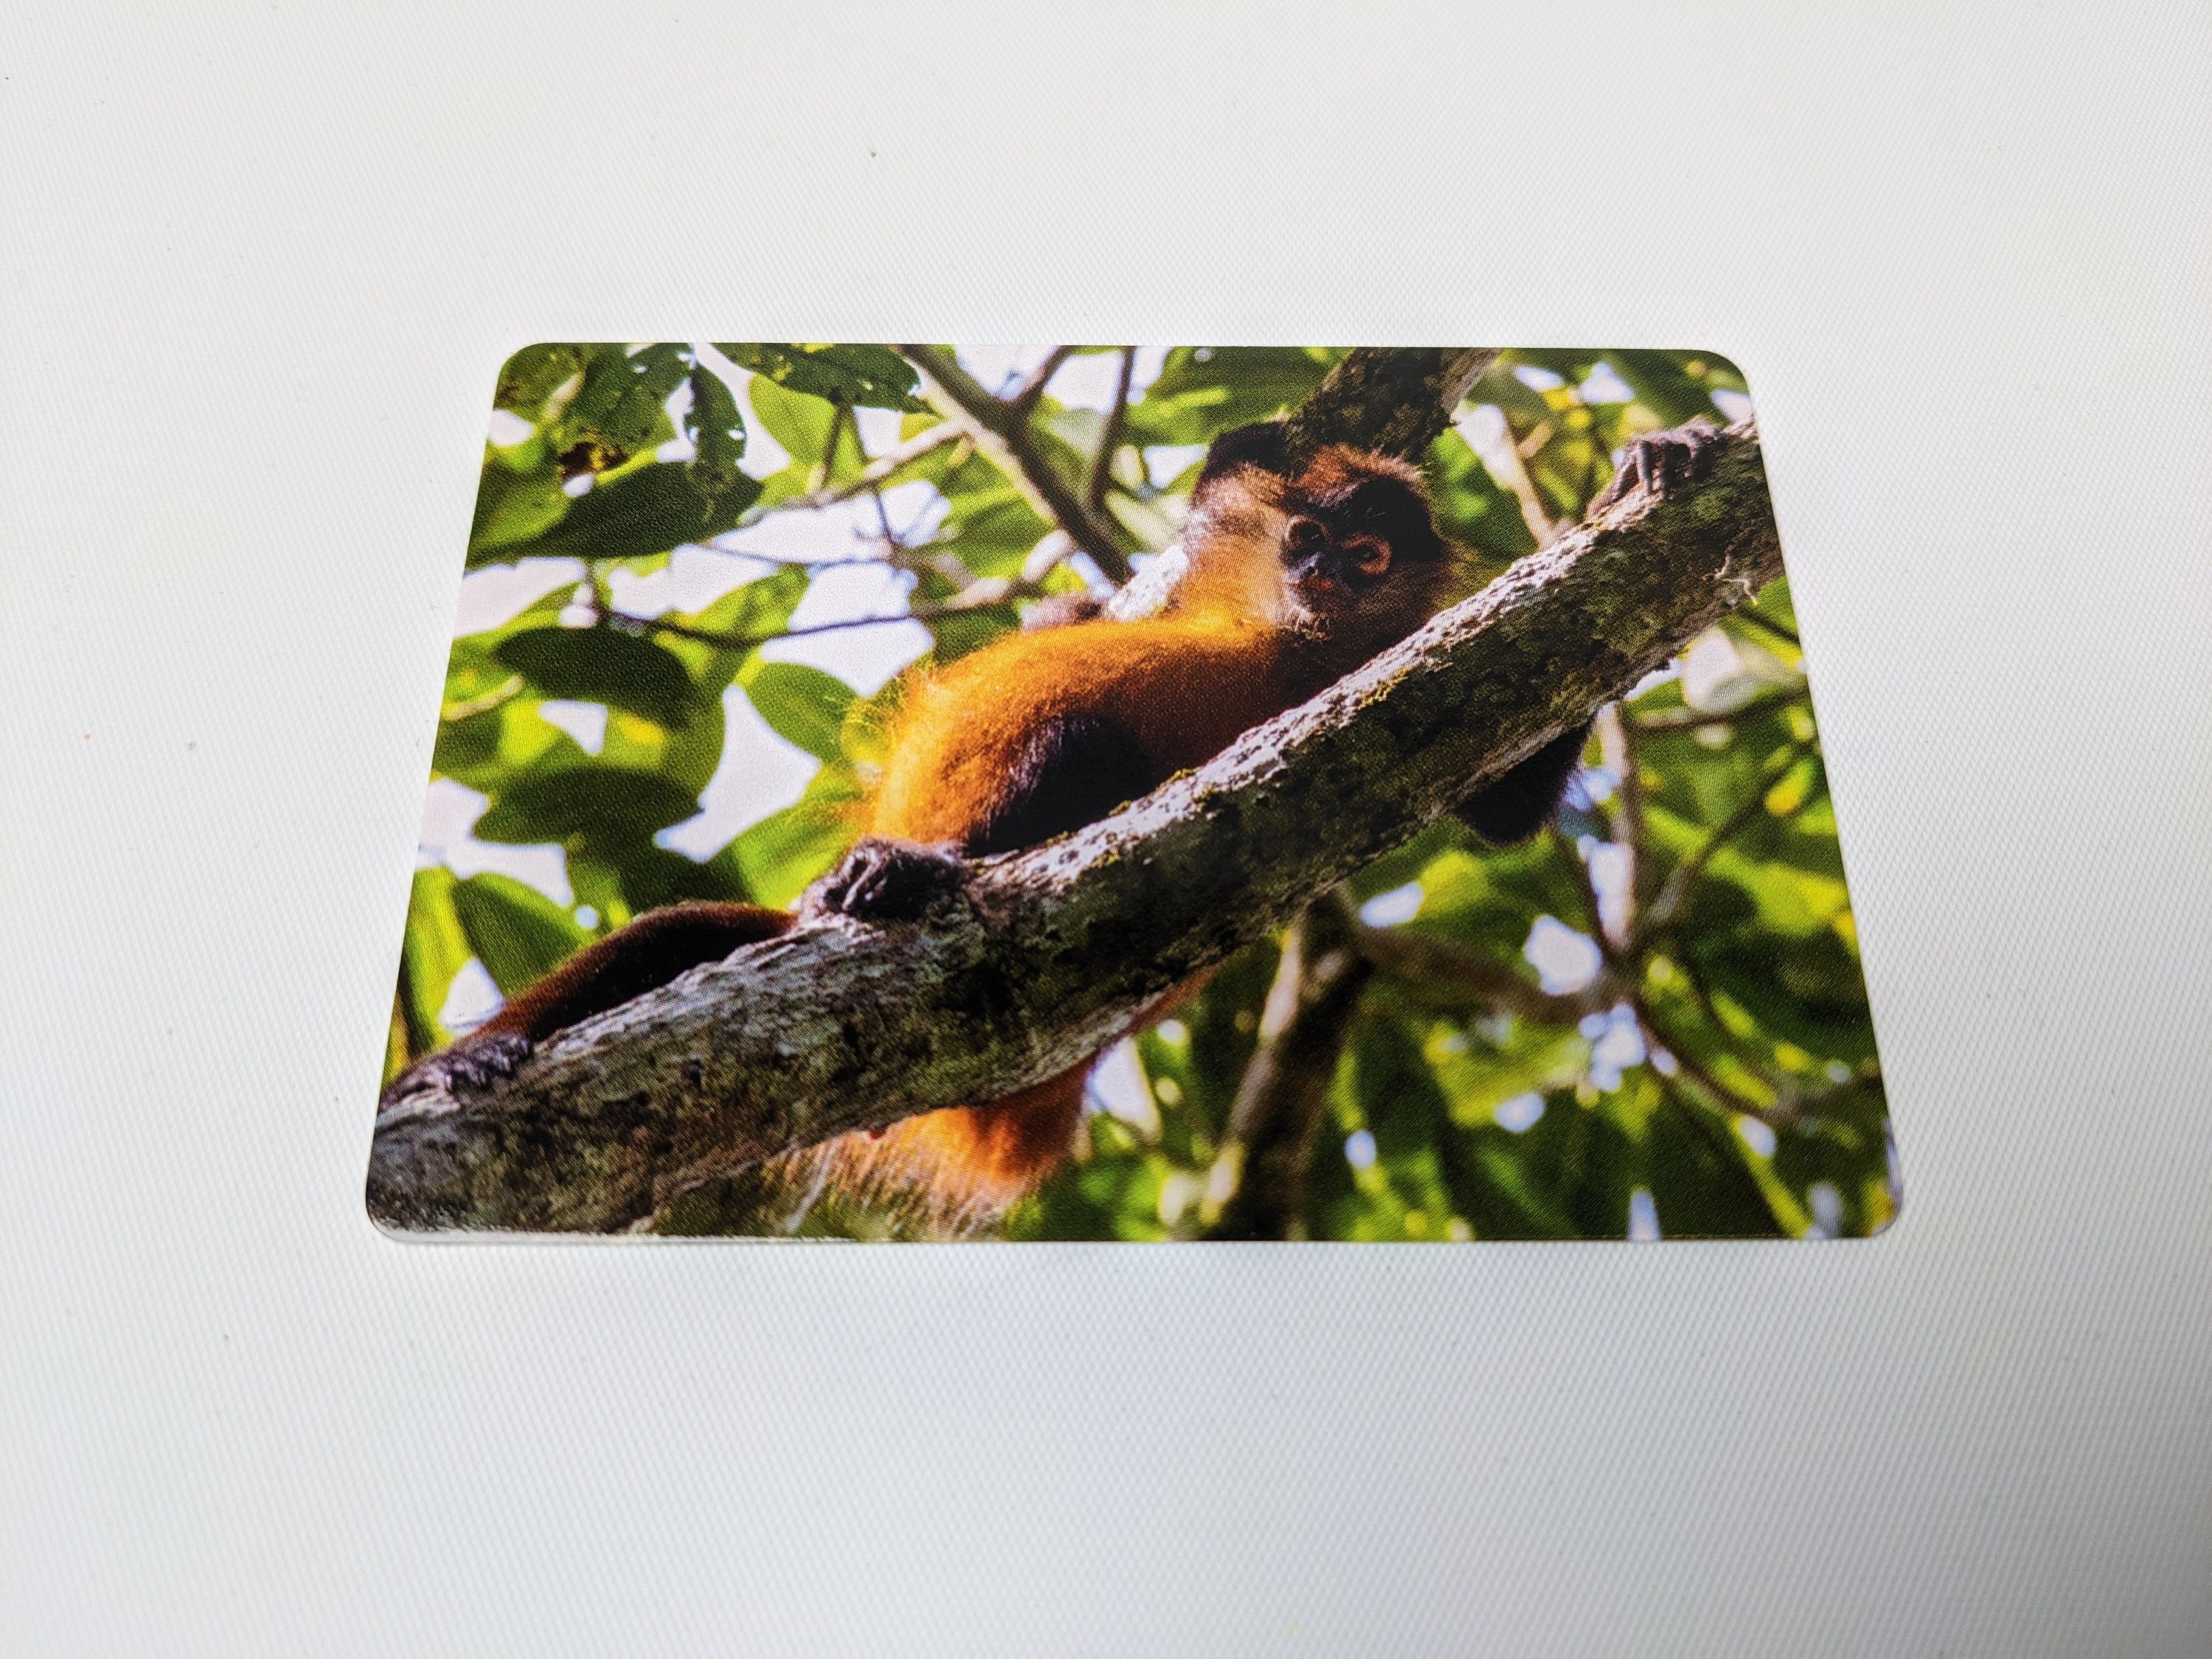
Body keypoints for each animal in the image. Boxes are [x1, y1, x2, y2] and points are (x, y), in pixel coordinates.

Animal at [416, 417, 1722, 1226]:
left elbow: (1500, 806)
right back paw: (471, 1062)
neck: (1279, 629)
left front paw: (1630, 485)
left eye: (1366, 555)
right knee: (684, 937)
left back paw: (906, 873)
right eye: (1312, 542)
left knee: (1079, 747)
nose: (1322, 577)